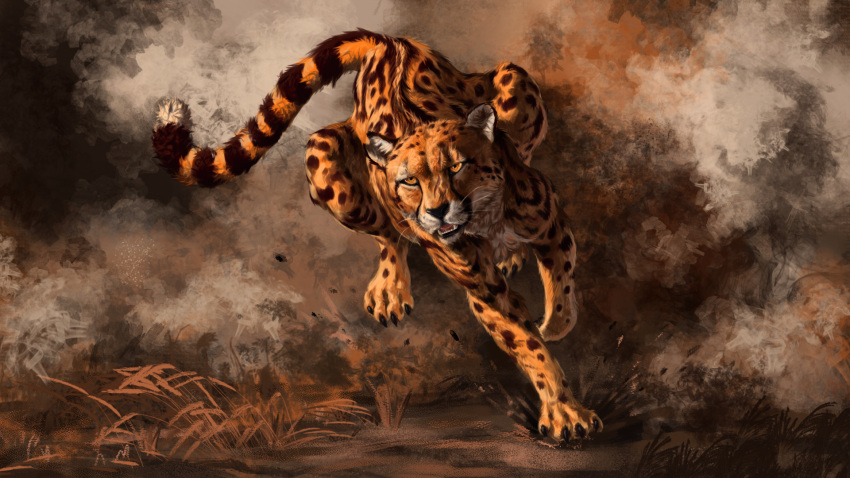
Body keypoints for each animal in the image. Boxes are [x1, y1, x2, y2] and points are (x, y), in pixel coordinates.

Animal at [152, 29, 601, 442]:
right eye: (409, 181)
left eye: (457, 166)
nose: (437, 212)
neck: (484, 218)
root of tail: (387, 42)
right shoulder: (482, 287)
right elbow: (527, 344)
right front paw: (564, 408)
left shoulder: (549, 219)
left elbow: (561, 279)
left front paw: (556, 324)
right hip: (326, 166)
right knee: (389, 234)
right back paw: (391, 287)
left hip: (513, 83)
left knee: (519, 135)